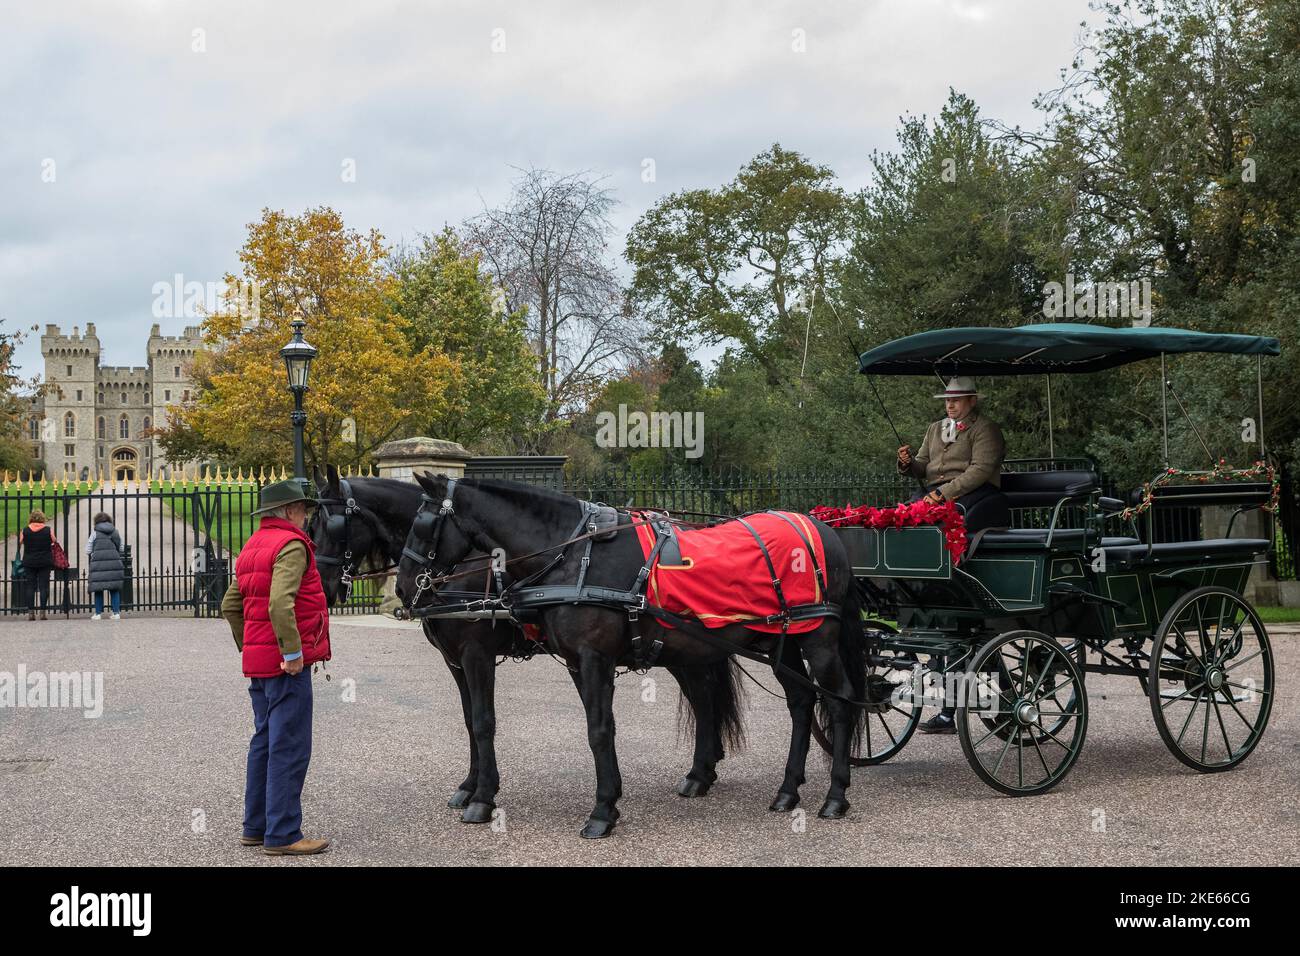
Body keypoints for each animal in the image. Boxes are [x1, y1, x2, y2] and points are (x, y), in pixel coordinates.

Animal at [307, 467, 745, 826]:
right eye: (310, 527)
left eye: (329, 525)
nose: (323, 586)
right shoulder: (455, 661)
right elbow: (469, 721)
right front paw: (470, 785)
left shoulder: (477, 655)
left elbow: (484, 722)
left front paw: (483, 797)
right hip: (681, 649)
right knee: (703, 700)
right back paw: (701, 772)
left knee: (702, 699)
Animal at [395, 473, 868, 839]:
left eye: (422, 524)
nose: (403, 587)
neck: (573, 554)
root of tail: (822, 528)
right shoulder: (570, 662)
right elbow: (589, 727)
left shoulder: (584, 658)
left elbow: (594, 729)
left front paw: (601, 810)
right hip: (778, 642)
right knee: (800, 701)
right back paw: (787, 790)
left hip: (818, 639)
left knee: (839, 702)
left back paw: (836, 794)